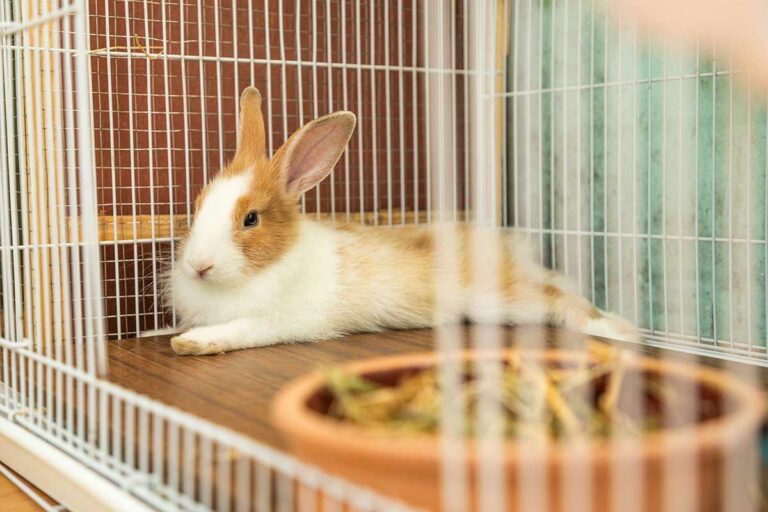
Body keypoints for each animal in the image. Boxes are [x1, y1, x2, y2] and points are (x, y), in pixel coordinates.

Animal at [168, 86, 639, 355]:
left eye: (250, 219)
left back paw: (622, 331)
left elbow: (240, 329)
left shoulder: (280, 320)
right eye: (198, 205)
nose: (198, 266)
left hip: (497, 299)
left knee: (562, 301)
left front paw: (190, 344)